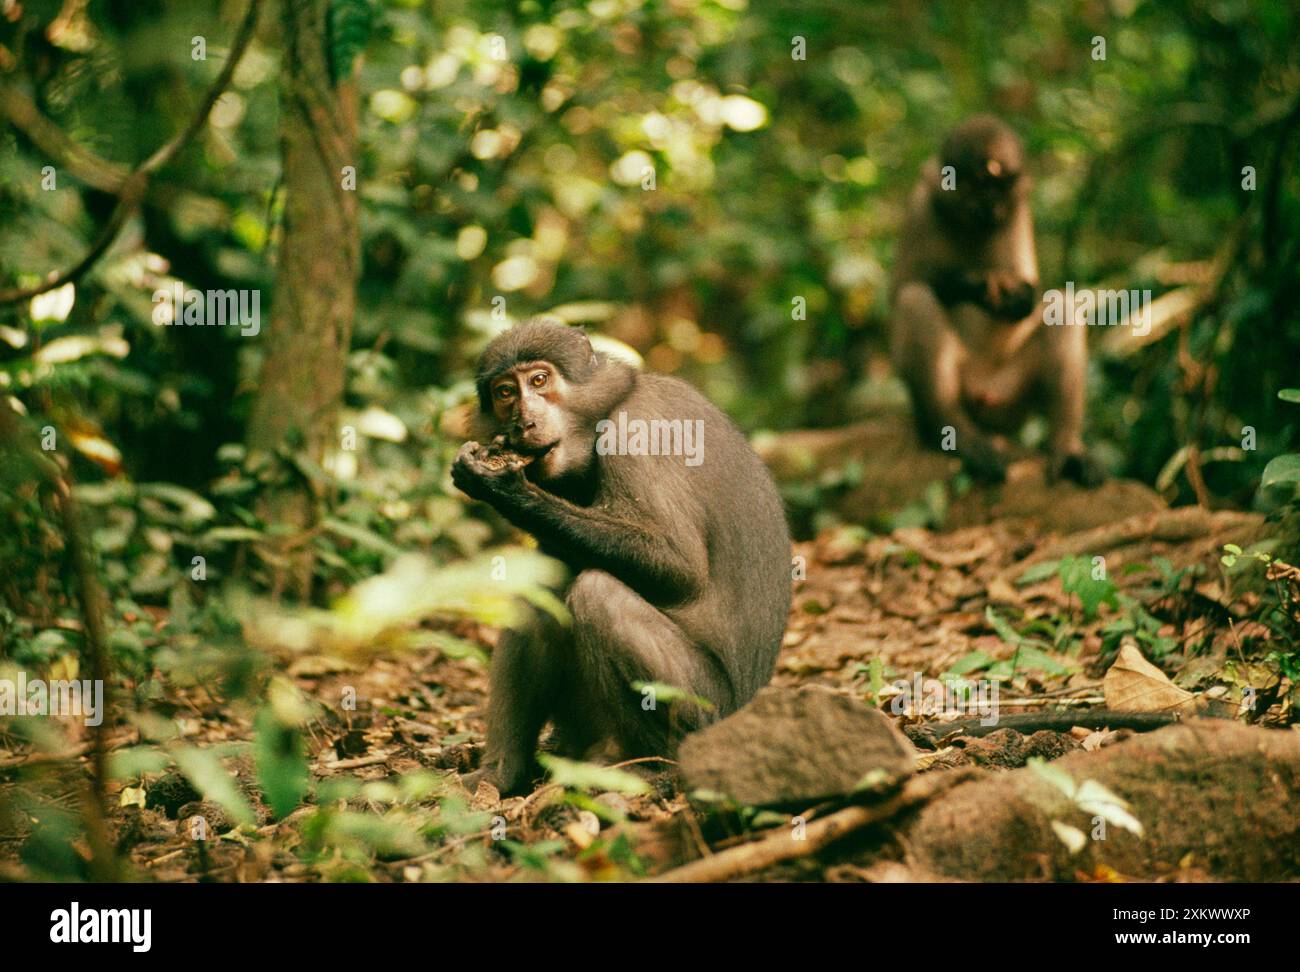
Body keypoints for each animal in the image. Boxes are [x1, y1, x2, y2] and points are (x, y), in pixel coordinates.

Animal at [452, 319, 792, 794]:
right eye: (505, 392)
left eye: (539, 380)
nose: (523, 421)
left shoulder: (636, 431)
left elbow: (680, 567)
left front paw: (502, 487)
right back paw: (502, 773)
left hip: (707, 707)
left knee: (597, 594)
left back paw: (658, 766)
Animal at [890, 115, 1106, 486]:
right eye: (979, 185)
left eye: (1000, 187)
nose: (991, 204)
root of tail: (984, 389)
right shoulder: (921, 202)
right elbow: (900, 290)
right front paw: (977, 283)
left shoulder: (1018, 211)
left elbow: (1031, 290)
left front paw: (1015, 296)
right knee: (914, 299)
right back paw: (957, 435)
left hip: (1012, 398)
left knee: (1062, 306)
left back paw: (1066, 449)